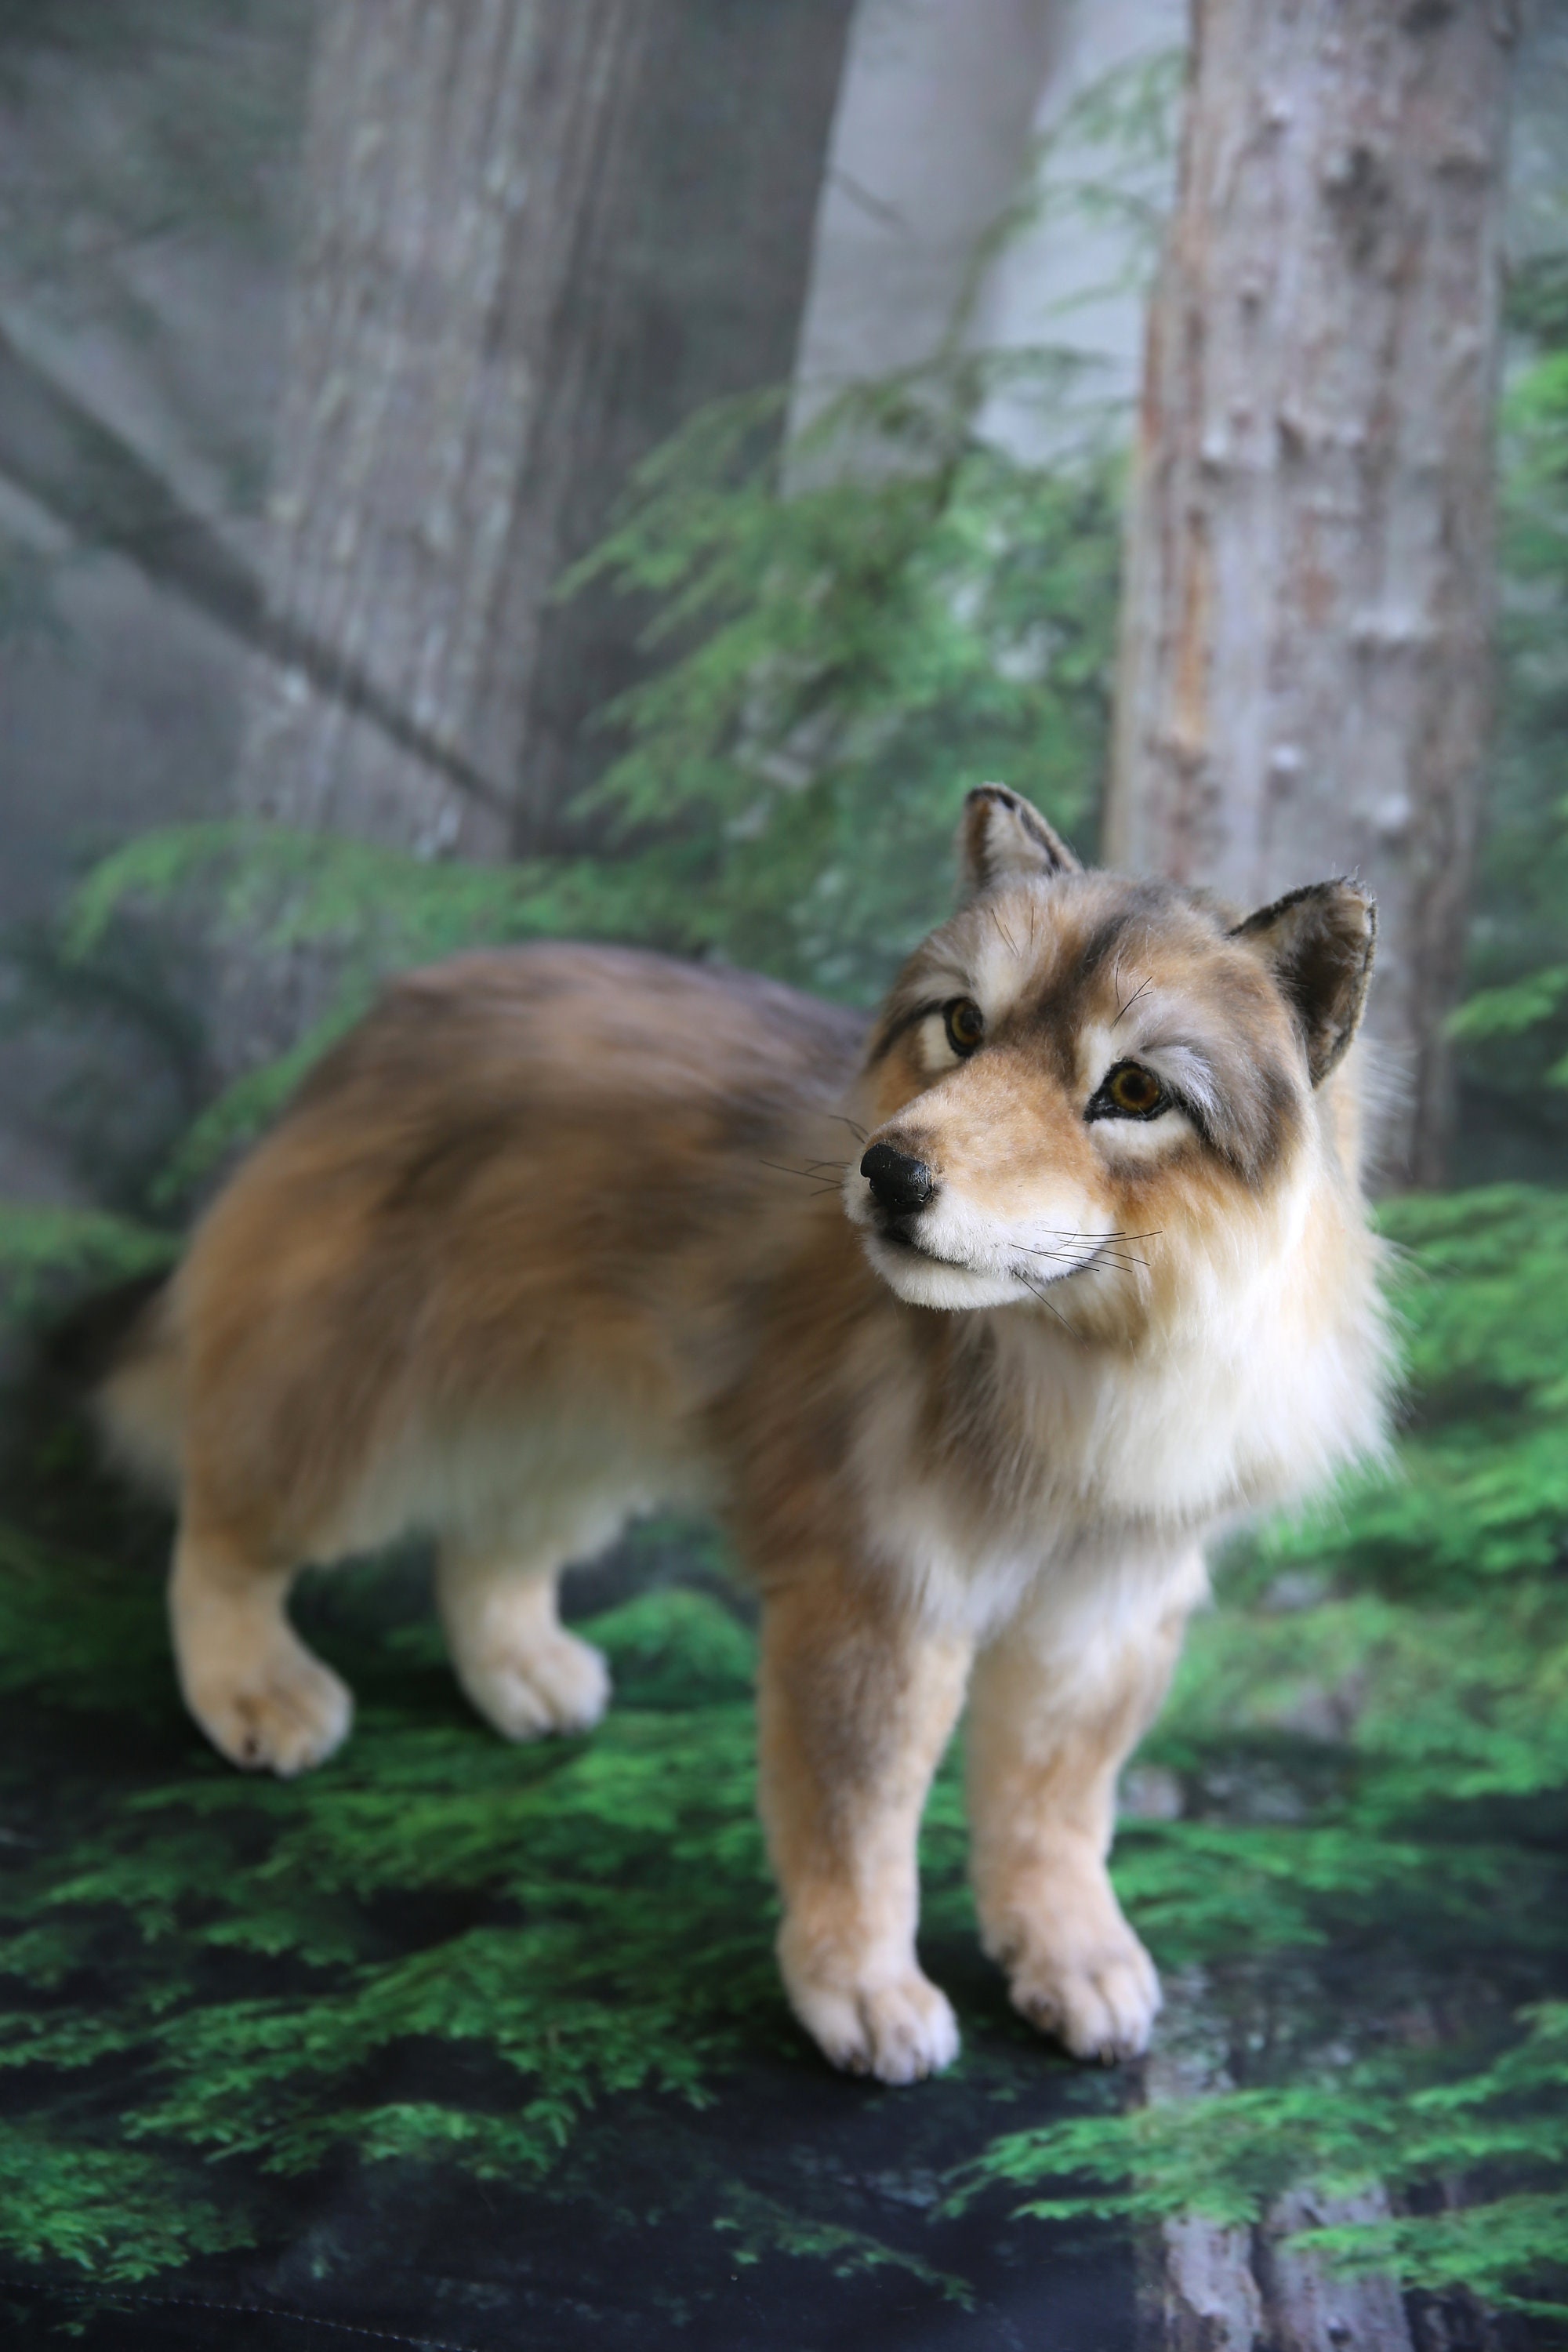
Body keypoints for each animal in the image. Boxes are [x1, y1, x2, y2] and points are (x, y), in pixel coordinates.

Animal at [99, 785, 1388, 2084]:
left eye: (1133, 1093)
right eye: (964, 1025)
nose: (891, 1172)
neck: (1068, 1371)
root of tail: (388, 1015)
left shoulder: (1101, 1622)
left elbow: (1055, 1824)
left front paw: (1068, 1958)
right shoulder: (876, 1605)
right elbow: (857, 1833)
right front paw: (860, 1992)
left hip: (569, 1419)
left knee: (485, 1550)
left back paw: (520, 1671)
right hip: (358, 1416)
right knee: (220, 1530)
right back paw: (253, 1688)